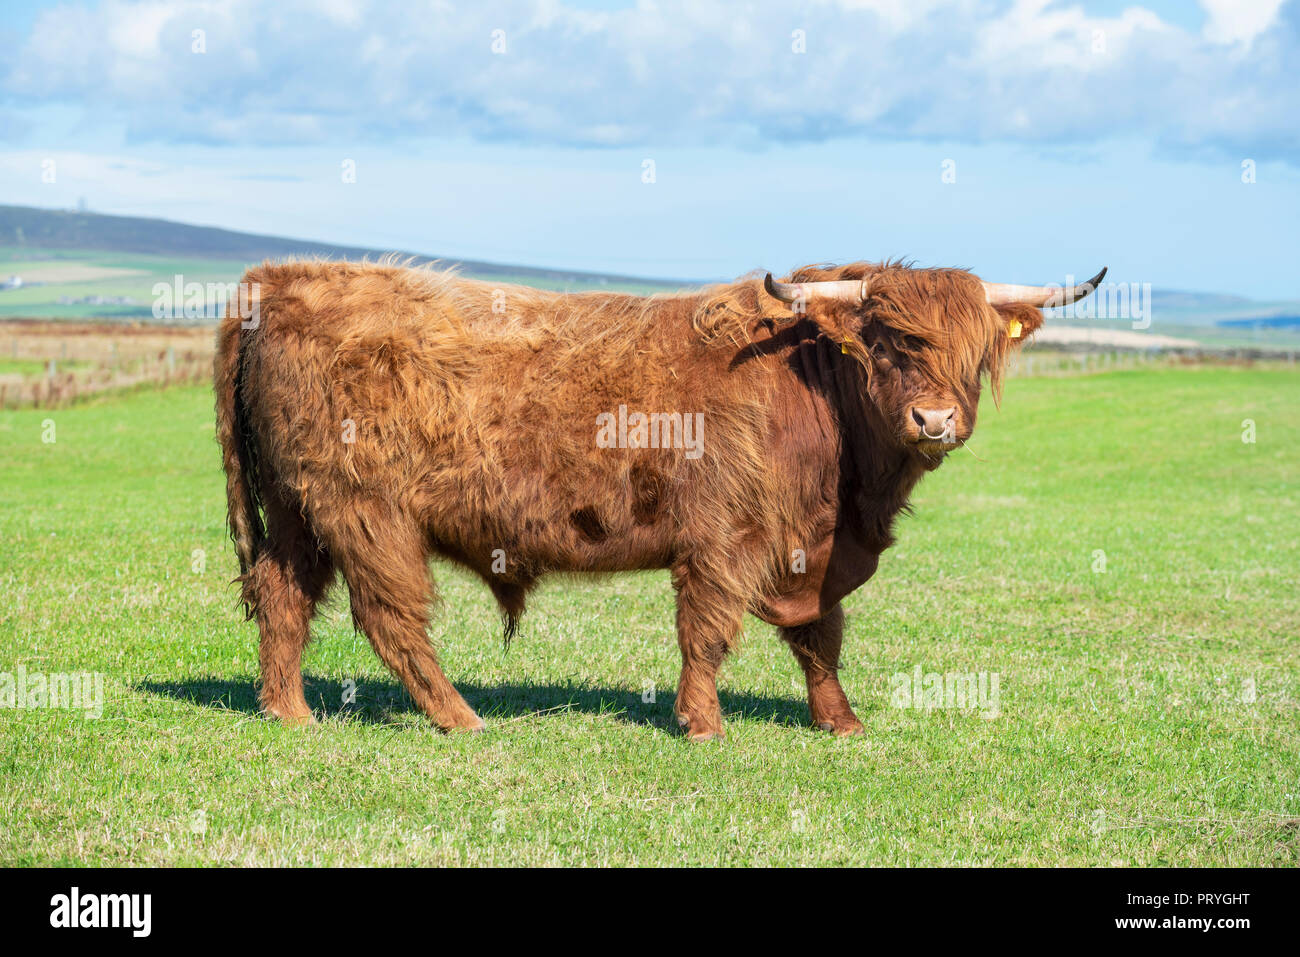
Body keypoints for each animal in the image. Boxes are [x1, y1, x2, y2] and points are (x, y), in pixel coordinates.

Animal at [215, 258, 1104, 740]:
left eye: (973, 352)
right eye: (887, 343)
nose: (935, 420)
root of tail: (275, 280)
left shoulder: (809, 547)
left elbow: (821, 636)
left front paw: (841, 720)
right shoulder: (723, 538)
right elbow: (707, 632)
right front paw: (704, 723)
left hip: (296, 512)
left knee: (284, 596)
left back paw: (288, 710)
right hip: (364, 511)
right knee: (390, 616)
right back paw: (458, 715)